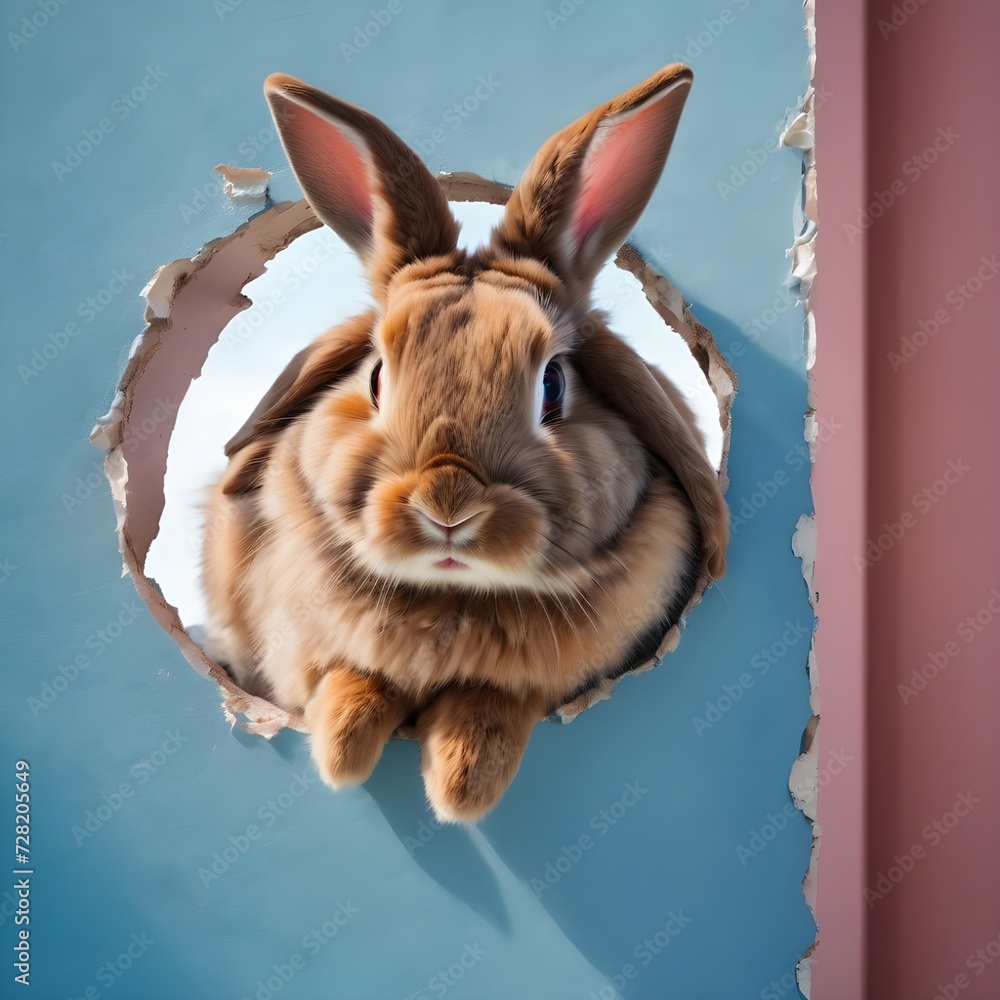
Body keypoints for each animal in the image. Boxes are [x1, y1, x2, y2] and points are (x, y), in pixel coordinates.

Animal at [201, 64, 728, 824]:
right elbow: (349, 681)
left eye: (553, 385)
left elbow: (493, 703)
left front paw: (462, 780)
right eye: (376, 376)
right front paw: (344, 747)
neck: (452, 599)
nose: (447, 504)